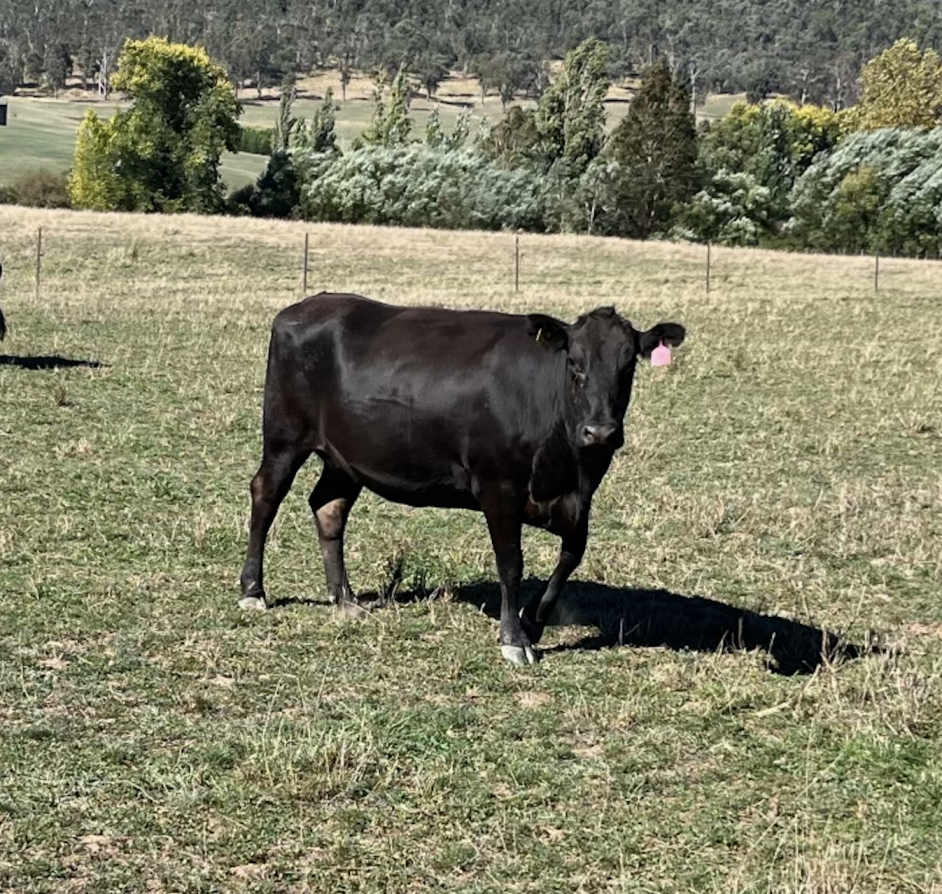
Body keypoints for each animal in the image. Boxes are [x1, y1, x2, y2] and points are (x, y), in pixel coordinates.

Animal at [239, 292, 685, 664]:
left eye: (627, 367)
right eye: (575, 363)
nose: (600, 432)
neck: (567, 466)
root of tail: (306, 305)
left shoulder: (579, 500)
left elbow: (570, 558)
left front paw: (534, 621)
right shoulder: (498, 487)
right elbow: (511, 563)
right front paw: (513, 639)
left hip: (345, 457)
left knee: (329, 508)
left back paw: (345, 599)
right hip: (284, 435)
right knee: (266, 495)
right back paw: (253, 591)